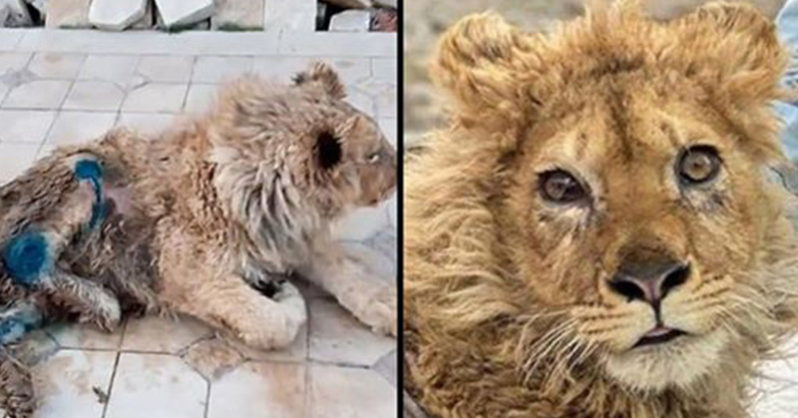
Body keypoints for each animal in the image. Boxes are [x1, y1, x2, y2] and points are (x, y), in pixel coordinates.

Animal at [0, 62, 397, 416]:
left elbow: (347, 273)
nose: (399, 176)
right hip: (80, 176)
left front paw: (388, 304)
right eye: (374, 155)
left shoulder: (291, 238)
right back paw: (102, 303)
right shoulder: (184, 273)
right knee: (24, 255)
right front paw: (284, 295)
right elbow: (272, 323)